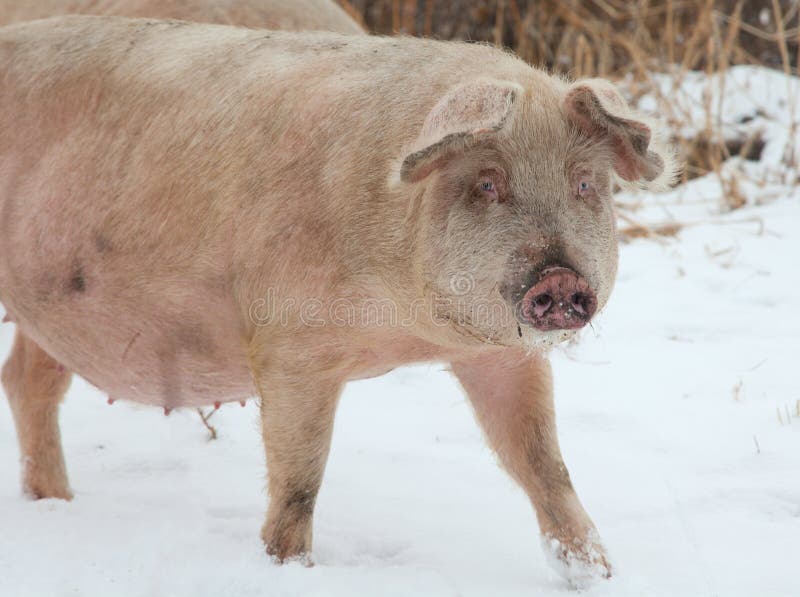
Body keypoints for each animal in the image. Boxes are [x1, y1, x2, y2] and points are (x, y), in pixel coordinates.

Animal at [0, 16, 676, 584]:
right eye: (488, 184)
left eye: (584, 184)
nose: (558, 279)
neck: (408, 333)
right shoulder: (286, 344)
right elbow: (300, 479)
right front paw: (287, 570)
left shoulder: (501, 355)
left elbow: (543, 465)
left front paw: (599, 574)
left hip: (46, 319)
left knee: (28, 382)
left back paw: (57, 502)